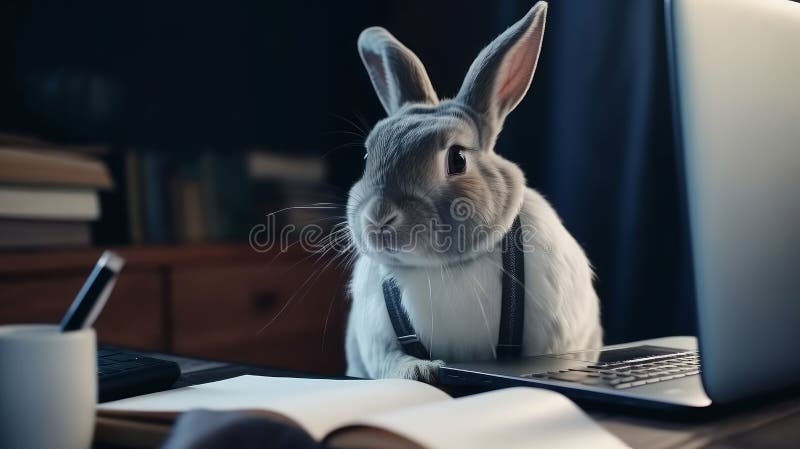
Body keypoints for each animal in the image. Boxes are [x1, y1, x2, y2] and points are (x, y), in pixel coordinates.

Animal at [344, 1, 602, 382]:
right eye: (367, 156)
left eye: (457, 159)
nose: (378, 218)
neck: (445, 267)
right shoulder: (376, 337)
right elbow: (391, 360)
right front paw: (421, 371)